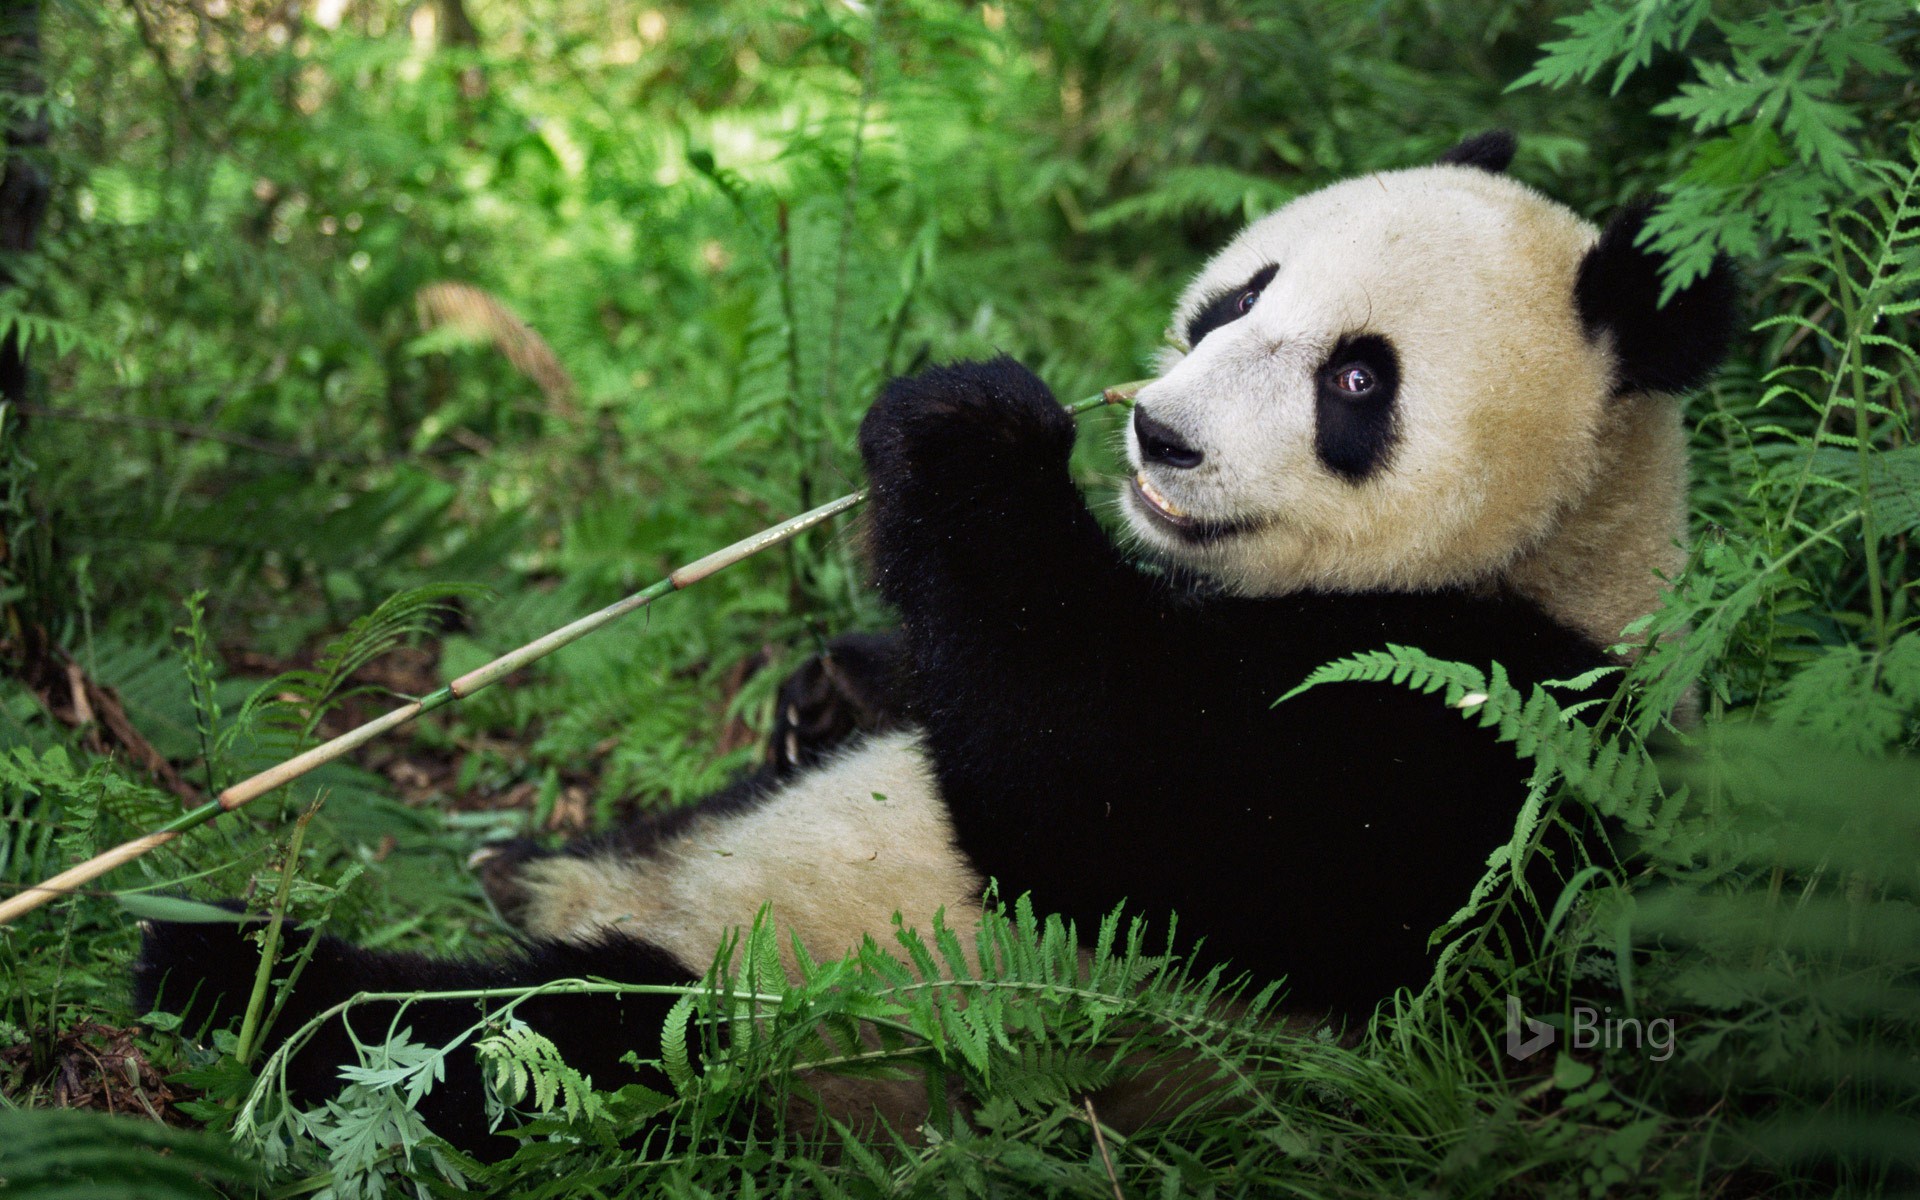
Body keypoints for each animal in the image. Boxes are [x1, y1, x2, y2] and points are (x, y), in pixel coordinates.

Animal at [135, 132, 1736, 1157]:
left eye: (1357, 380)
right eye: (1238, 296)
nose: (1159, 436)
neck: (1562, 549)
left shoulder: (1484, 737)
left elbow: (1126, 807)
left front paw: (967, 434)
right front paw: (831, 683)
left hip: (793, 1026)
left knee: (531, 1040)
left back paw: (230, 974)